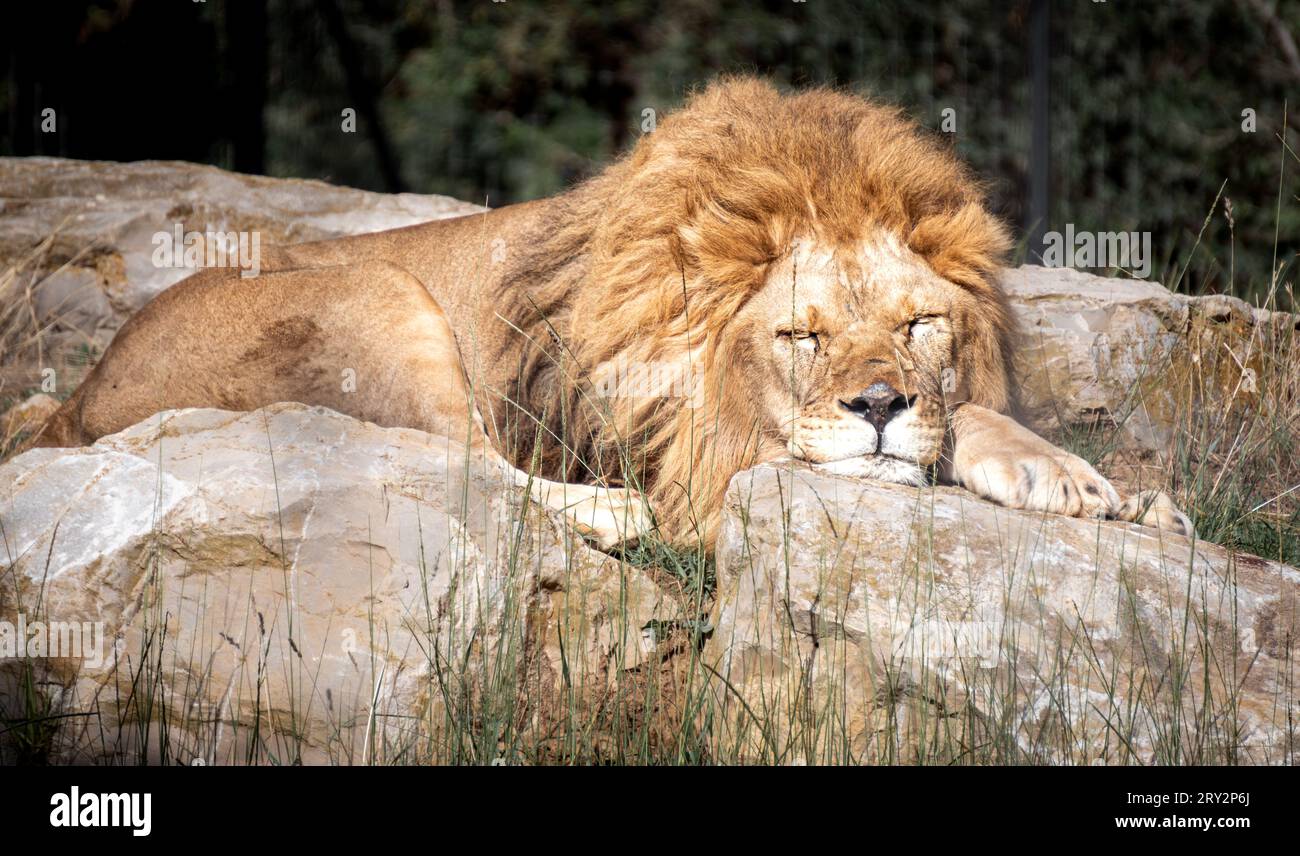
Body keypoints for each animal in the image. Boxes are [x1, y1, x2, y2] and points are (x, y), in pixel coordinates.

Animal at [25, 77, 1191, 549]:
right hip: (376, 300)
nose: (876, 407)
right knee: (471, 471)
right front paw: (1067, 476)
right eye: (800, 334)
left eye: (918, 326)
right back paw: (624, 520)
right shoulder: (693, 447)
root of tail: (76, 401)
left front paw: (1128, 498)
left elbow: (966, 413)